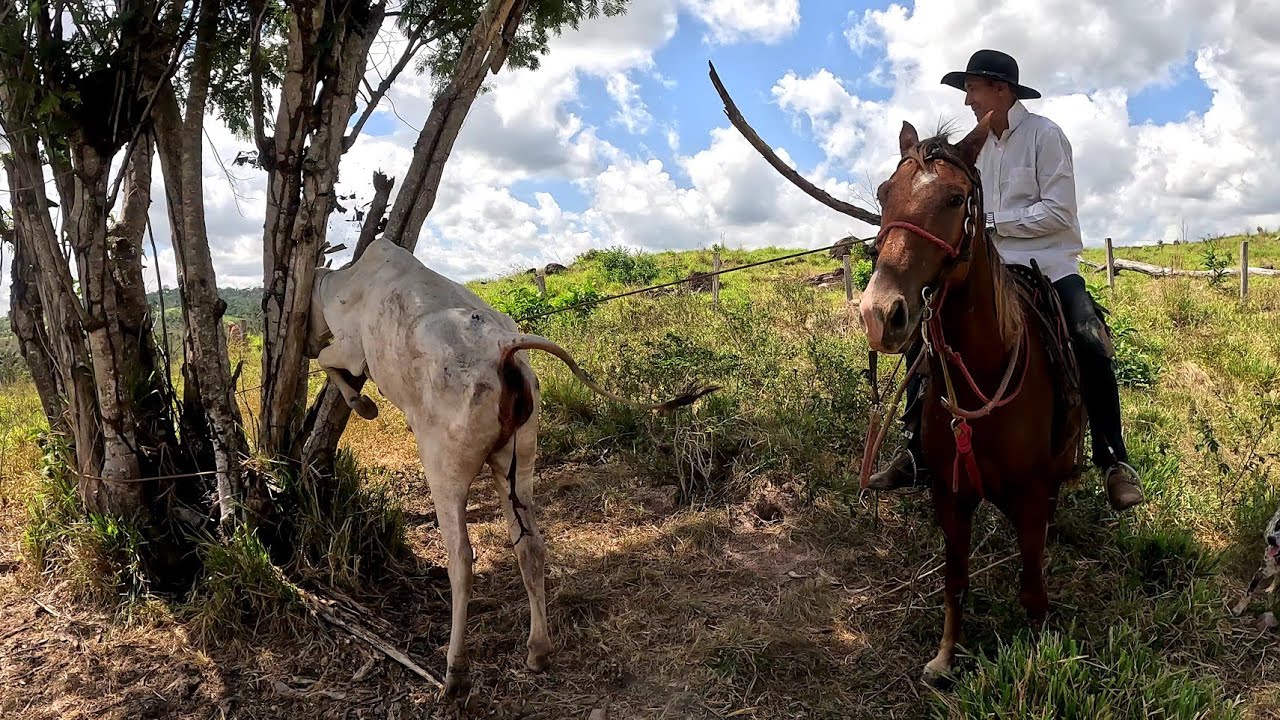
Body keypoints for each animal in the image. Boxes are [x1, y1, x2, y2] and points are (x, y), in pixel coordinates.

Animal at [305, 237, 714, 696]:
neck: (344, 280)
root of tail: (504, 346)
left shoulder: (351, 348)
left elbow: (328, 361)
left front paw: (363, 404)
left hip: (444, 467)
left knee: (462, 559)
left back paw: (455, 671)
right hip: (518, 463)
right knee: (529, 545)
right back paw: (537, 651)